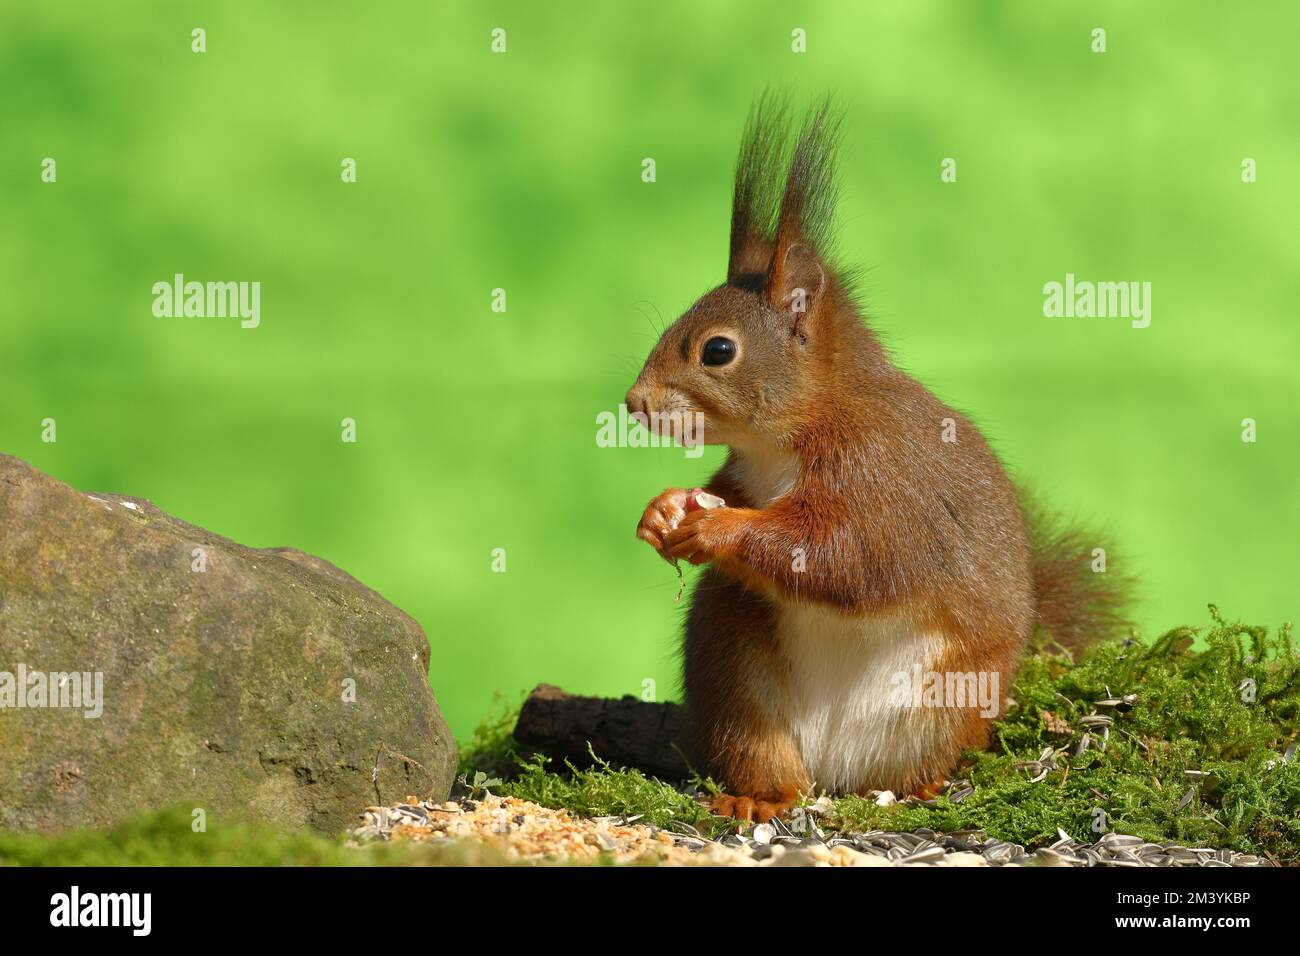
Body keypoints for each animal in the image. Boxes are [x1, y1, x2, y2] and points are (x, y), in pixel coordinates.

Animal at [626, 98, 1131, 823]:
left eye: (717, 351)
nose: (634, 403)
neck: (784, 441)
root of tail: (839, 769)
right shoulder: (741, 473)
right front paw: (662, 510)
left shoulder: (882, 477)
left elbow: (849, 554)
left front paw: (717, 528)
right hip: (734, 666)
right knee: (772, 761)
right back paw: (760, 799)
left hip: (948, 700)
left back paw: (917, 790)